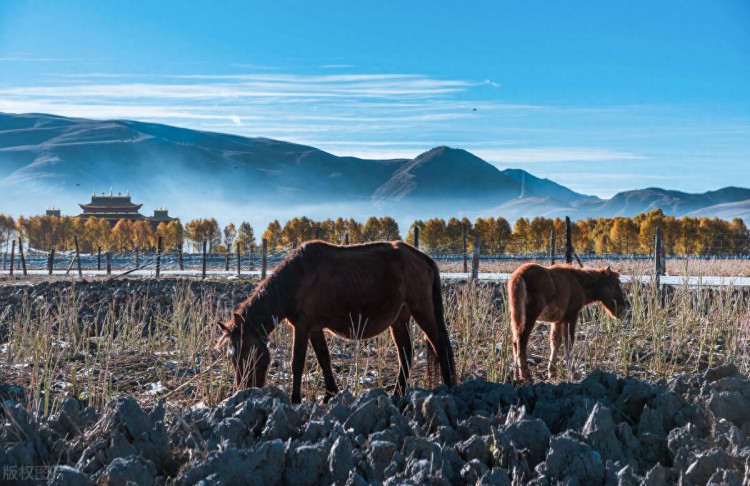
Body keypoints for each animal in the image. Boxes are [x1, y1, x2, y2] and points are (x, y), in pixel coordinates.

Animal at [214, 239, 456, 402]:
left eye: (247, 353)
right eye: (231, 356)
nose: (244, 391)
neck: (296, 279)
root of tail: (422, 258)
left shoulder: (302, 326)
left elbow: (297, 363)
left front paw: (295, 399)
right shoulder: (314, 328)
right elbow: (324, 359)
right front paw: (330, 394)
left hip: (422, 310)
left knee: (439, 344)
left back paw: (449, 387)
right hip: (399, 319)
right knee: (405, 354)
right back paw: (397, 394)